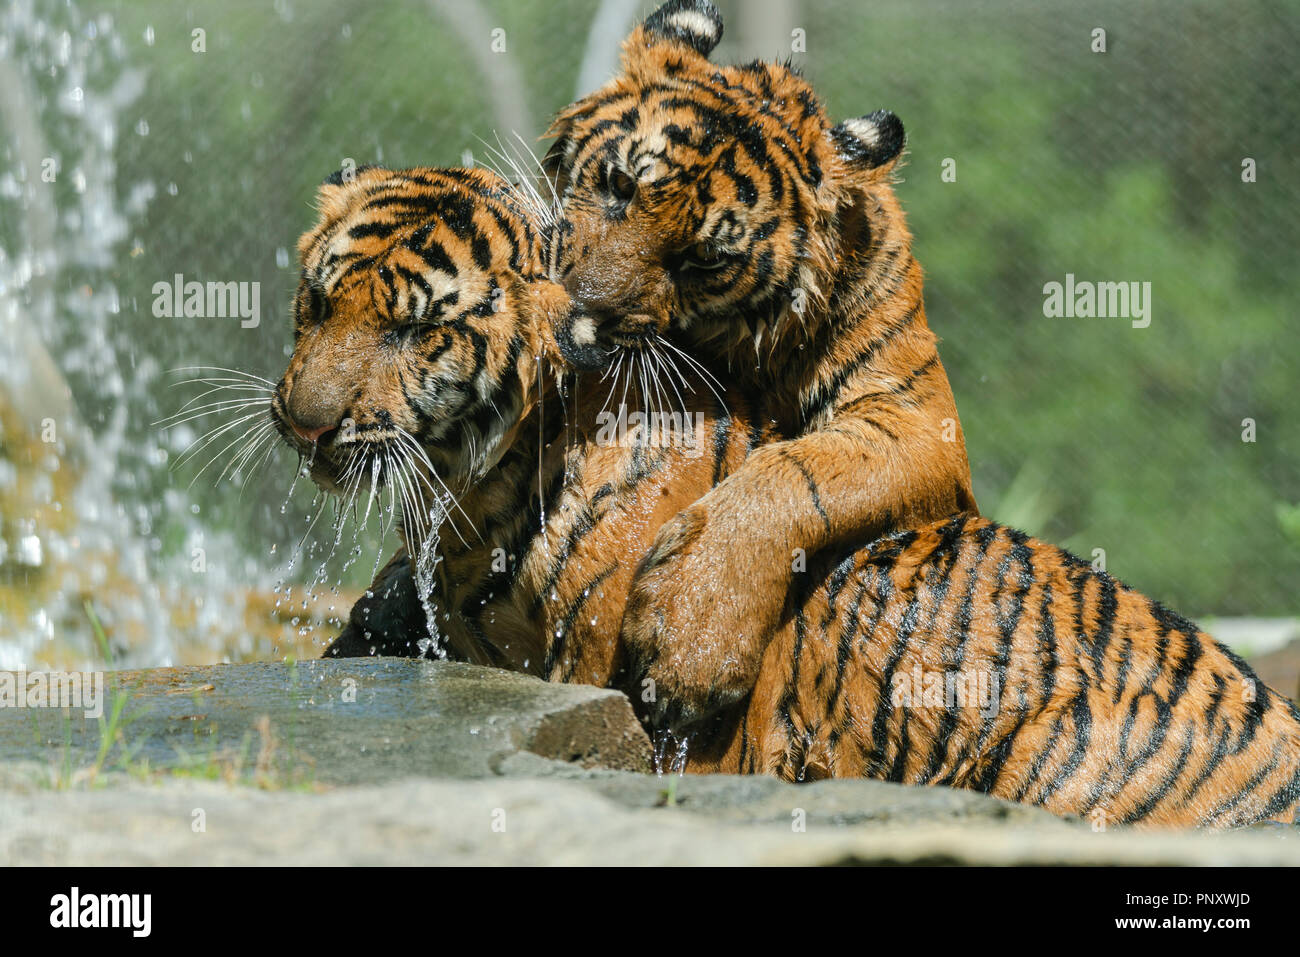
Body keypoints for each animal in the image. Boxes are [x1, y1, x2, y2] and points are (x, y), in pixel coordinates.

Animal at [543, 0, 977, 734]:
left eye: (704, 257)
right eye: (619, 184)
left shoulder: (918, 419)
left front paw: (693, 644)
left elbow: (799, 474)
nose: (581, 316)